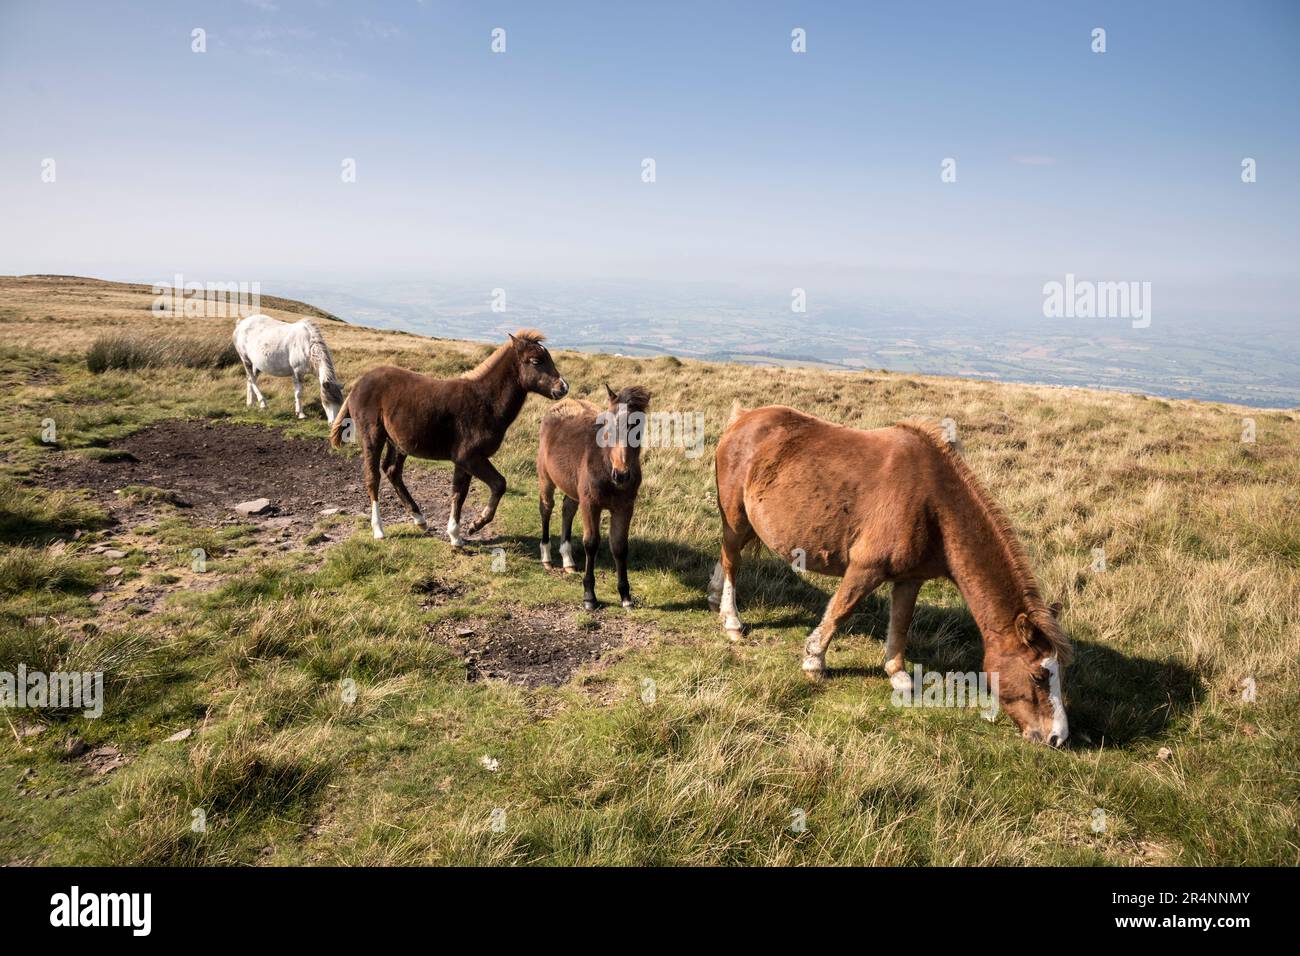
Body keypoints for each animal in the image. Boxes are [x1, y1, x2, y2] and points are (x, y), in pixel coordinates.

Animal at [329, 329, 568, 543]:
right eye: (535, 361)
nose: (563, 388)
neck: (485, 401)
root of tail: (357, 386)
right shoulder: (468, 457)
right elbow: (499, 484)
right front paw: (475, 525)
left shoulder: (464, 460)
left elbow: (458, 493)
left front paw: (455, 535)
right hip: (373, 437)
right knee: (373, 478)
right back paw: (379, 530)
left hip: (397, 442)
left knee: (392, 471)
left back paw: (420, 519)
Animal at [536, 384, 651, 610]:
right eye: (609, 425)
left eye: (637, 426)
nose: (621, 474)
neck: (605, 464)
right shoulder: (590, 504)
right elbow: (591, 543)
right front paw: (589, 595)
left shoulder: (625, 507)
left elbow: (619, 546)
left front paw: (625, 596)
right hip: (546, 478)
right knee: (546, 507)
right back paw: (546, 557)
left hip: (573, 487)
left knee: (567, 509)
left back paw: (568, 560)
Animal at [709, 403, 1072, 746]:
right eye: (1039, 676)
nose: (1058, 737)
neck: (934, 507)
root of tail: (743, 419)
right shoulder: (865, 569)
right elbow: (840, 610)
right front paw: (814, 660)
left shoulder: (910, 579)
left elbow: (900, 624)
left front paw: (897, 674)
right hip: (736, 518)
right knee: (732, 562)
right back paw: (732, 621)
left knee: (727, 556)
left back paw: (715, 599)